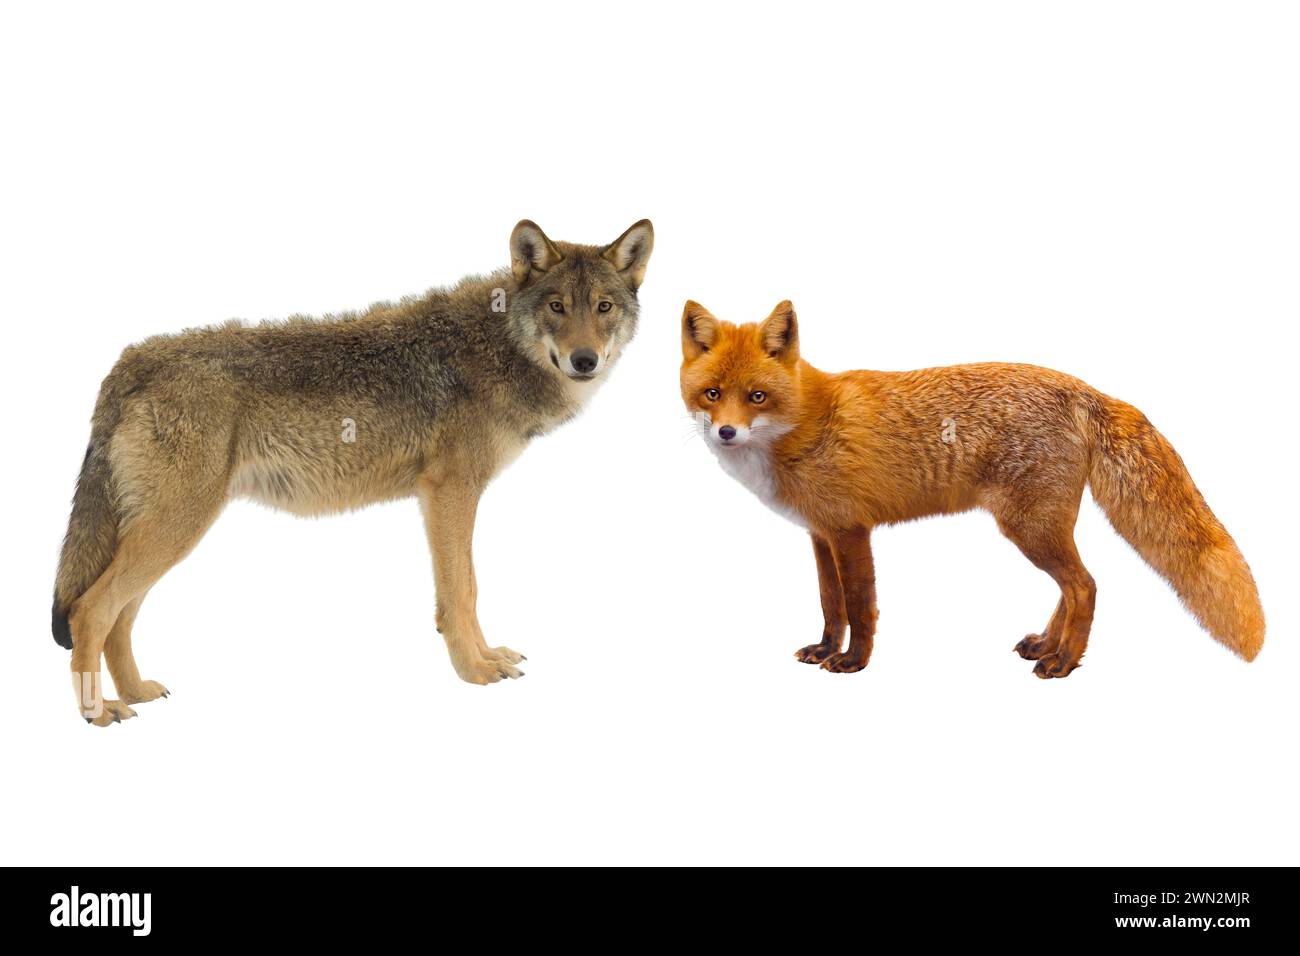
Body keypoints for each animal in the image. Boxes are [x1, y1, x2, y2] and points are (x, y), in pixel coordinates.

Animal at [53, 218, 654, 725]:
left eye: (603, 307)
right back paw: (99, 713)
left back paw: (135, 693)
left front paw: (486, 657)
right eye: (557, 306)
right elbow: (462, 591)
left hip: (167, 535)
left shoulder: (444, 498)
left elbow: (462, 588)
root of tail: (128, 363)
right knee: (88, 612)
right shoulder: (450, 492)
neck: (497, 345)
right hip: (176, 528)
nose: (584, 361)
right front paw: (474, 672)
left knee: (119, 619)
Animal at [680, 299, 1264, 678]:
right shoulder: (821, 535)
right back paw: (1047, 646)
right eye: (712, 394)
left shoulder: (851, 530)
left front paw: (853, 662)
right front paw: (825, 651)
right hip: (1042, 530)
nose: (726, 433)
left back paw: (1064, 661)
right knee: (1072, 587)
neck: (803, 422)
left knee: (1086, 587)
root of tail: (1083, 387)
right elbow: (831, 605)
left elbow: (861, 606)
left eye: (757, 396)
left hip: (1029, 528)